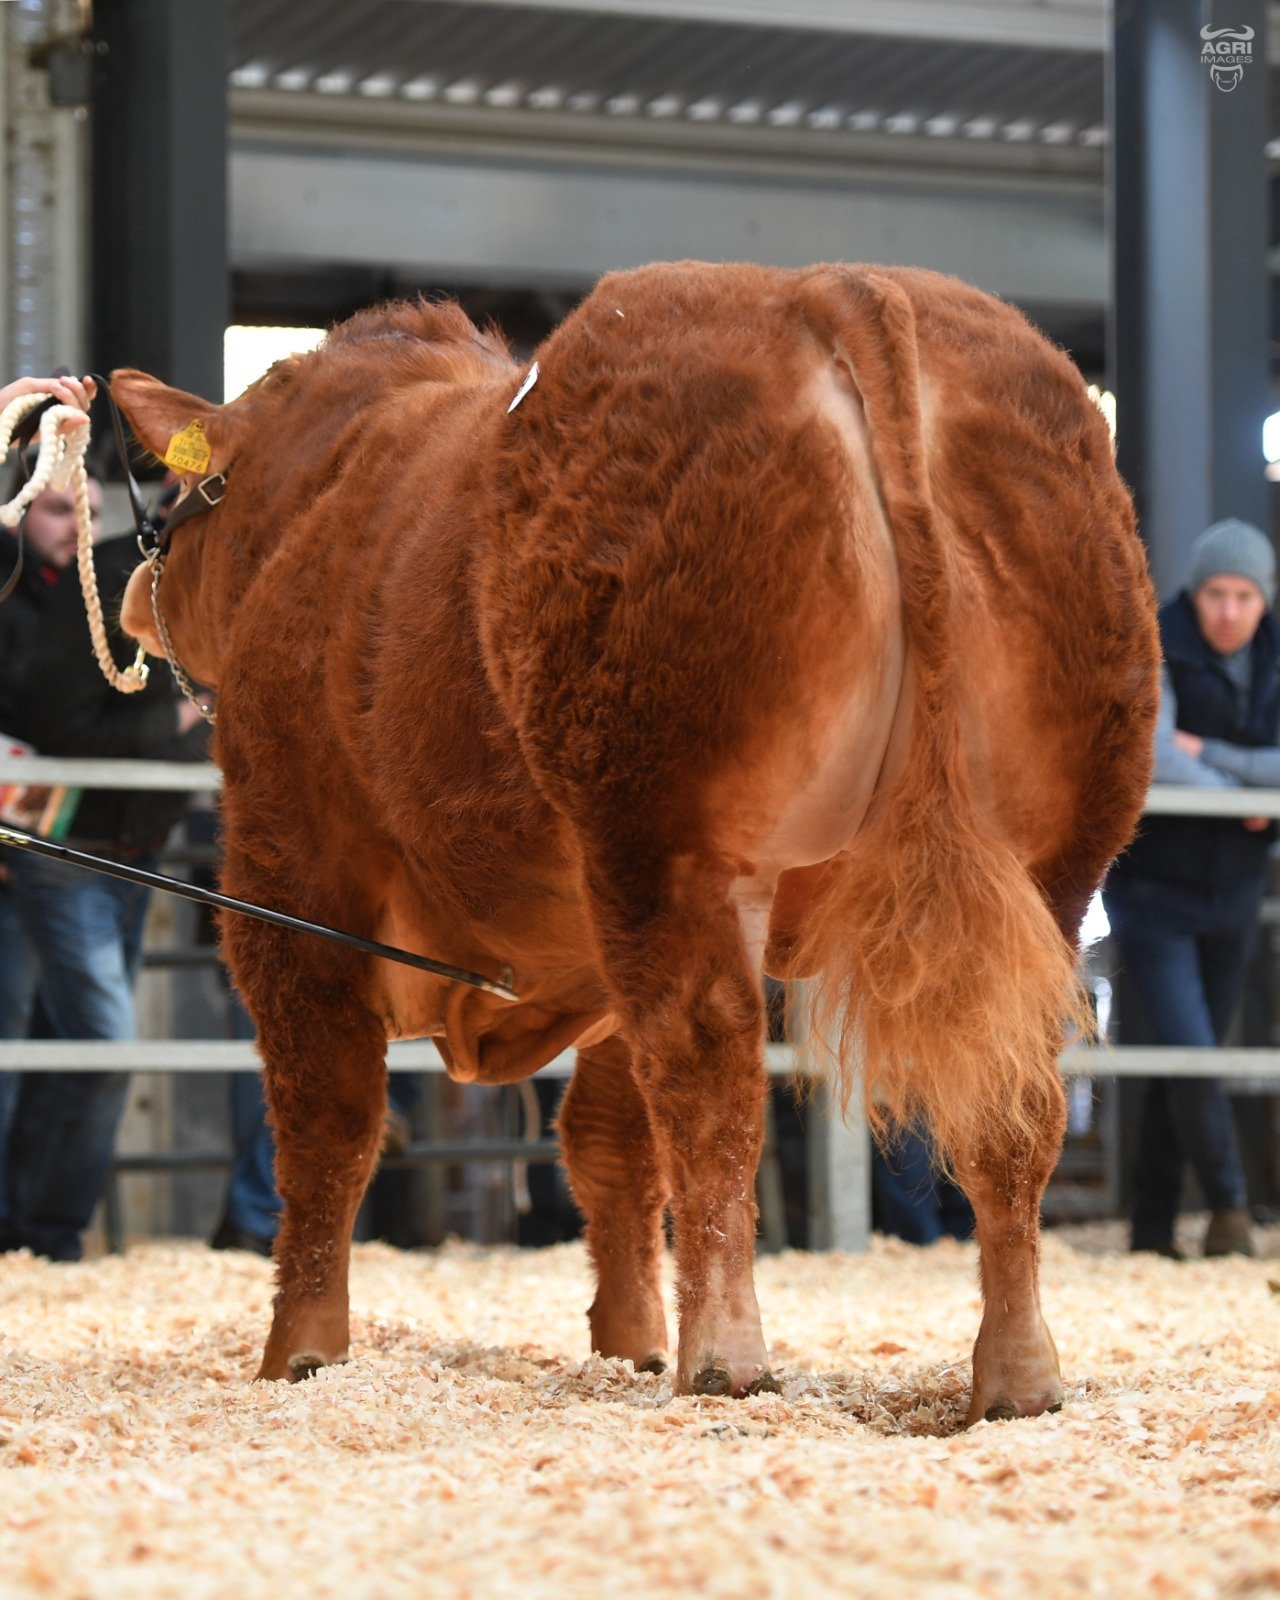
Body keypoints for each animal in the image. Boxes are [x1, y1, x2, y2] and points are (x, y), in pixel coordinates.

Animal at [113, 262, 1159, 1425]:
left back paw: (727, 1356)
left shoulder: (291, 872)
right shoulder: (584, 943)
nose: (136, 584)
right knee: (1009, 1091)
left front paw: (300, 1351)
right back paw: (1014, 1376)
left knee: (708, 1070)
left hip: (665, 838)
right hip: (1049, 861)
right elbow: (607, 1142)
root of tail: (830, 288)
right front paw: (625, 1344)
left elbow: (326, 1120)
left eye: (181, 500)